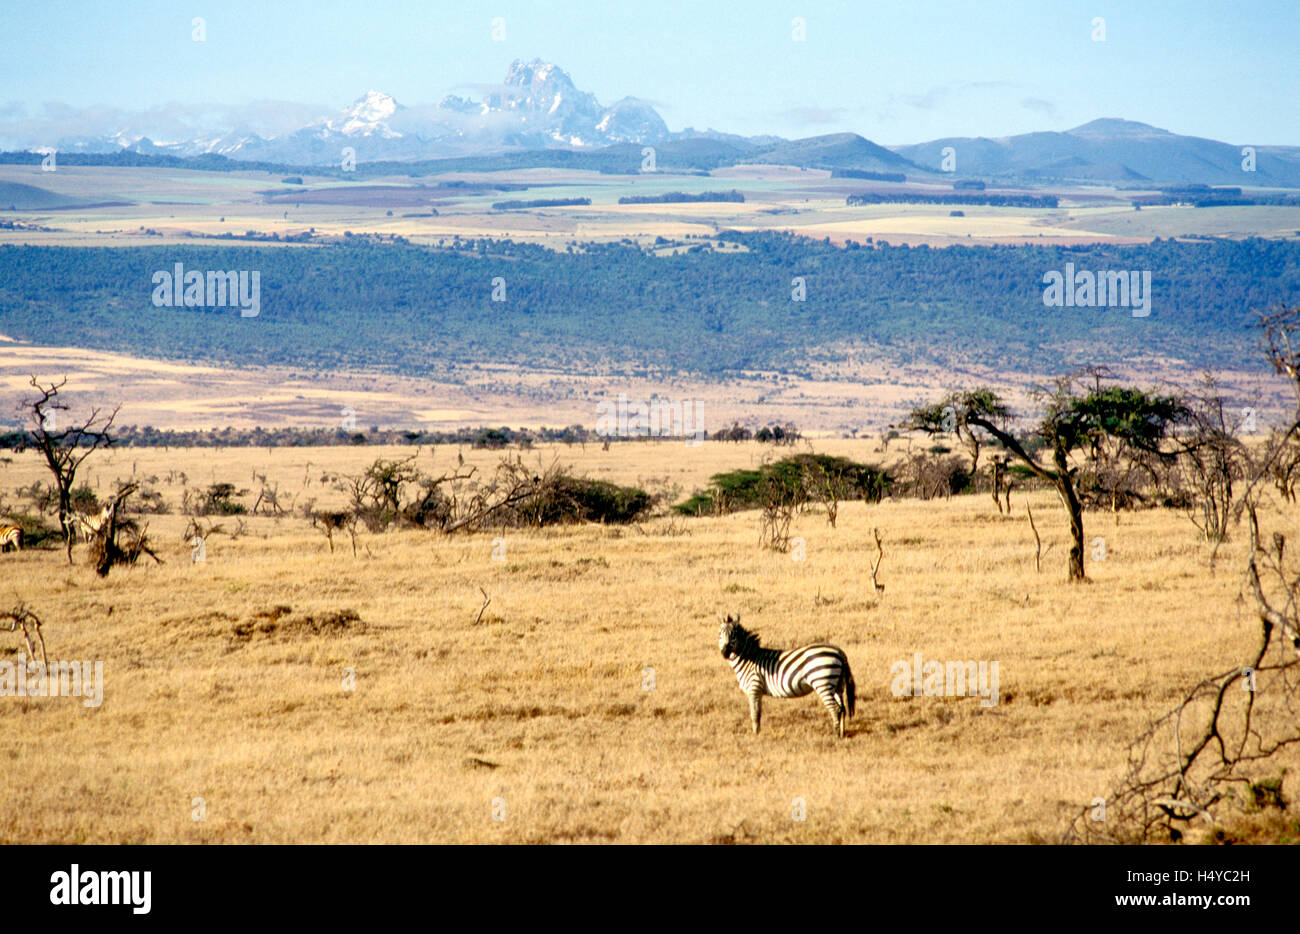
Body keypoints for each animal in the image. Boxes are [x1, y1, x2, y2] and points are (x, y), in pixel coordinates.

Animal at [718, 614, 855, 738]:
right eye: (720, 634)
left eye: (734, 635)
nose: (724, 653)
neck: (750, 659)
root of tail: (838, 651)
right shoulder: (758, 691)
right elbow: (759, 713)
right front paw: (758, 732)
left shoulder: (754, 688)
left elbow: (754, 714)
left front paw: (755, 735)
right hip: (837, 685)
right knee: (842, 708)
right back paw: (843, 733)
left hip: (822, 683)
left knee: (835, 708)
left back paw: (836, 735)